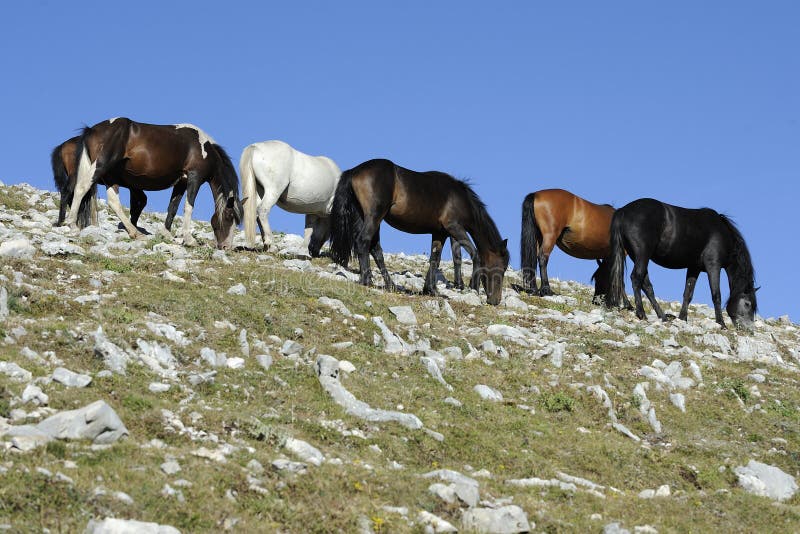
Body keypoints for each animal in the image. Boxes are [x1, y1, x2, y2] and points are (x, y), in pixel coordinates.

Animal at [63, 118, 243, 249]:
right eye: (229, 217)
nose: (226, 246)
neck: (203, 148)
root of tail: (91, 130)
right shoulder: (194, 178)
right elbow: (188, 207)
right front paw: (189, 239)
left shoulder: (181, 182)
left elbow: (173, 207)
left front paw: (166, 234)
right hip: (100, 167)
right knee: (81, 188)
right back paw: (72, 225)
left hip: (110, 177)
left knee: (113, 201)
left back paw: (135, 233)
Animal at [329, 159, 509, 305]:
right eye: (500, 268)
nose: (495, 301)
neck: (459, 198)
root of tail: (355, 171)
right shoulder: (454, 227)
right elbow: (474, 254)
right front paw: (473, 287)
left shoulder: (440, 233)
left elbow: (435, 259)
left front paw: (431, 289)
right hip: (374, 216)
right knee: (363, 242)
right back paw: (367, 280)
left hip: (368, 217)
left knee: (375, 249)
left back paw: (390, 285)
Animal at [605, 198, 758, 329]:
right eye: (748, 304)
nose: (749, 330)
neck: (722, 233)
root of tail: (622, 211)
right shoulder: (713, 266)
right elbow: (716, 295)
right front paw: (721, 323)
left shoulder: (694, 268)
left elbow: (688, 293)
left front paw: (683, 318)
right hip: (643, 254)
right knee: (637, 278)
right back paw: (641, 313)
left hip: (636, 255)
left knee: (646, 285)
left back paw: (662, 316)